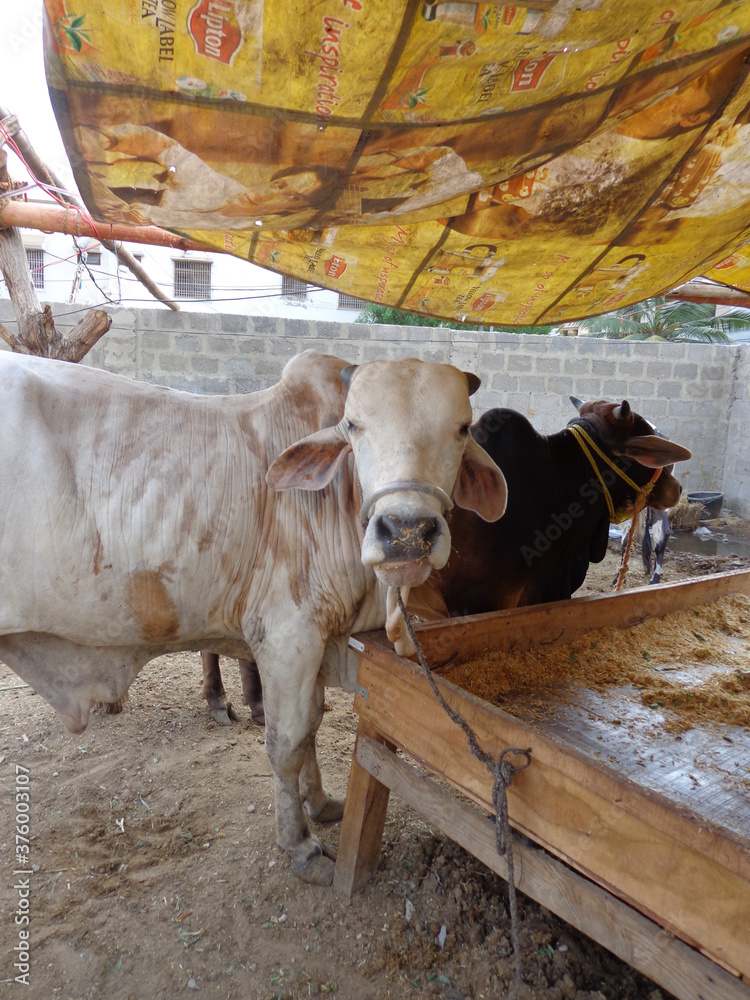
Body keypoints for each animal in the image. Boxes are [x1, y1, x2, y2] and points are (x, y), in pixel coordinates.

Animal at [0, 350, 506, 885]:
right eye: (353, 425)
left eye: (462, 428)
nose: (406, 532)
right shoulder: (289, 639)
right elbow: (288, 743)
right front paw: (300, 844)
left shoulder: (318, 644)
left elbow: (313, 727)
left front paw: (320, 803)